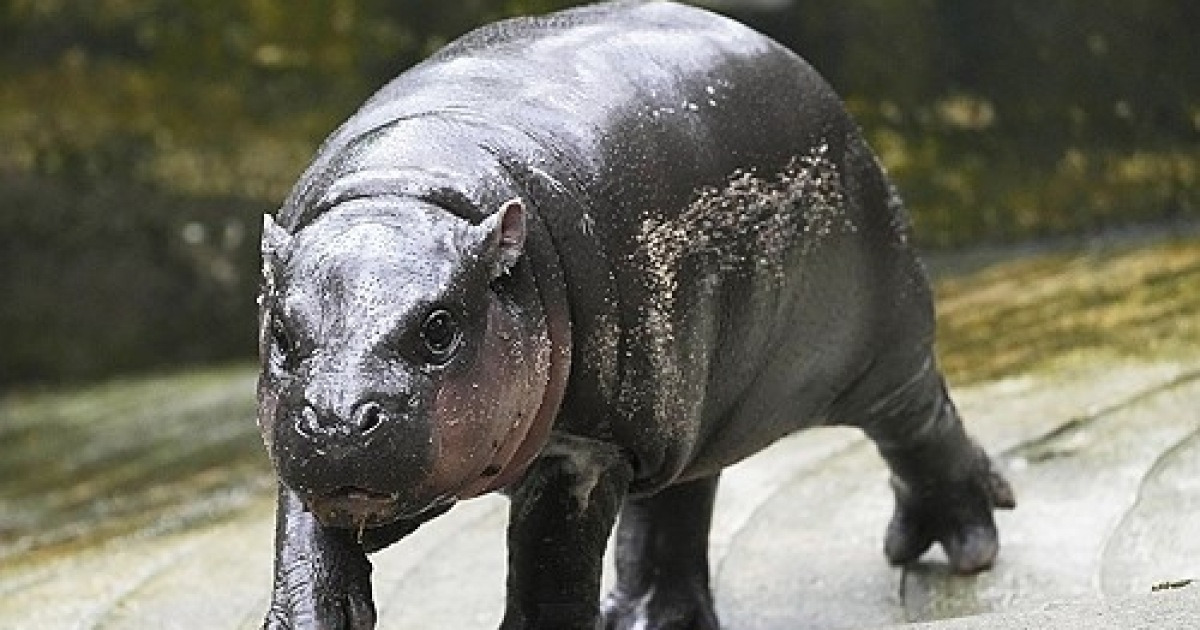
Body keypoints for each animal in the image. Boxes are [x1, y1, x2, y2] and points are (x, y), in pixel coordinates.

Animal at [256, 2, 1015, 628]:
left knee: (920, 422)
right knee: (677, 503)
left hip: (876, 344)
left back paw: (961, 544)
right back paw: (651, 618)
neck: (407, 189)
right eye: (282, 334)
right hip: (692, 405)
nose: (338, 420)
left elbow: (550, 576)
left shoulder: (589, 448)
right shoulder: (306, 456)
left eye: (440, 328)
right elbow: (308, 557)